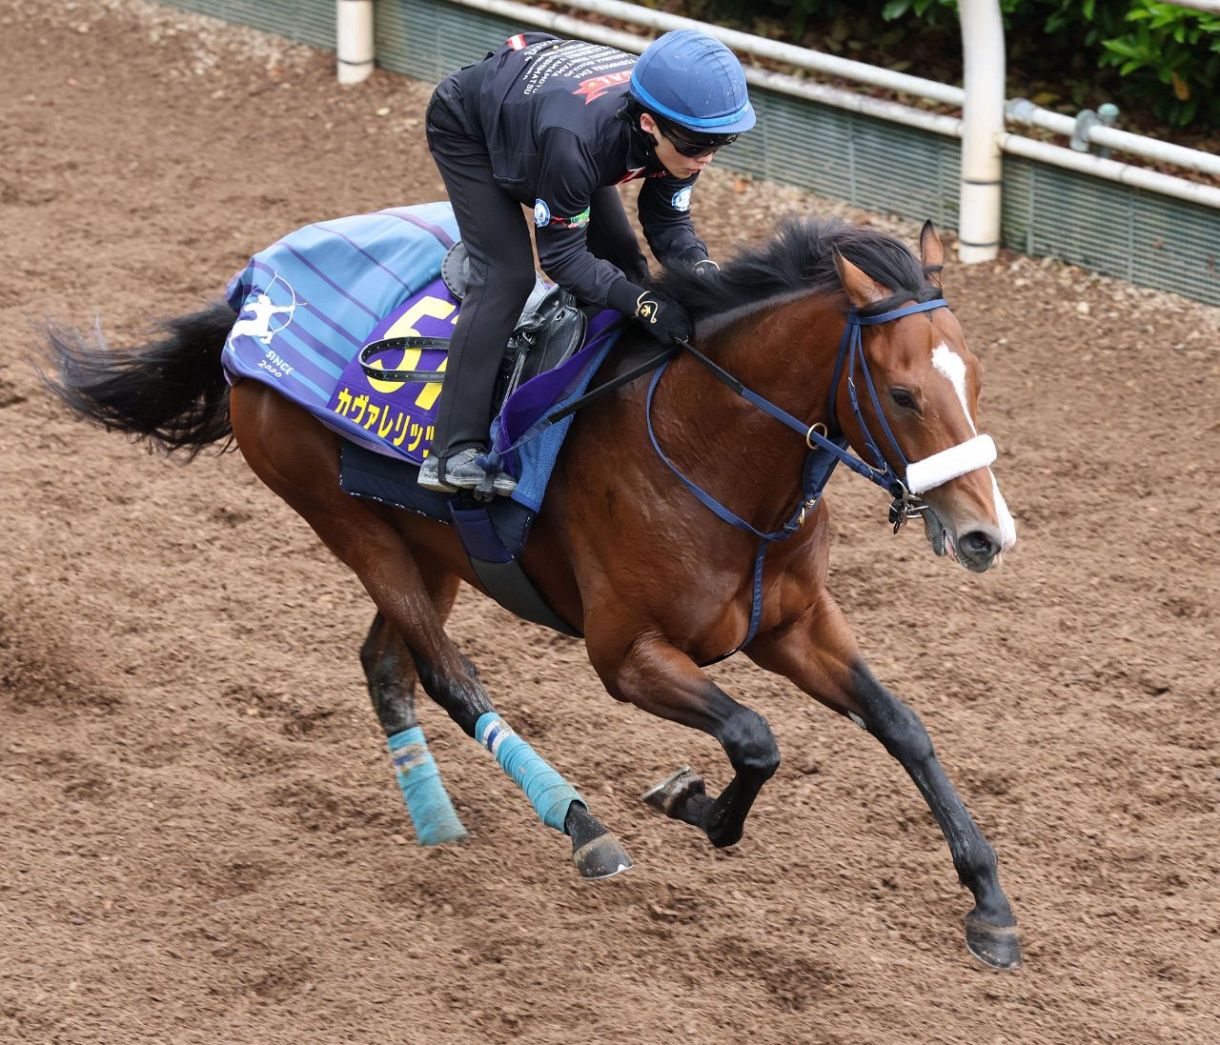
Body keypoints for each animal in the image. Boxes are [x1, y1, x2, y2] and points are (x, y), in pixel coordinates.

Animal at [42, 214, 1022, 970]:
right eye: (902, 393)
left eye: (976, 377)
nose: (985, 534)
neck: (712, 447)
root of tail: (254, 289)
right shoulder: (625, 654)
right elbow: (755, 738)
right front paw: (687, 800)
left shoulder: (794, 624)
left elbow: (903, 725)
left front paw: (990, 903)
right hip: (345, 519)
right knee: (448, 675)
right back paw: (580, 823)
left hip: (428, 547)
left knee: (386, 664)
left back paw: (438, 821)